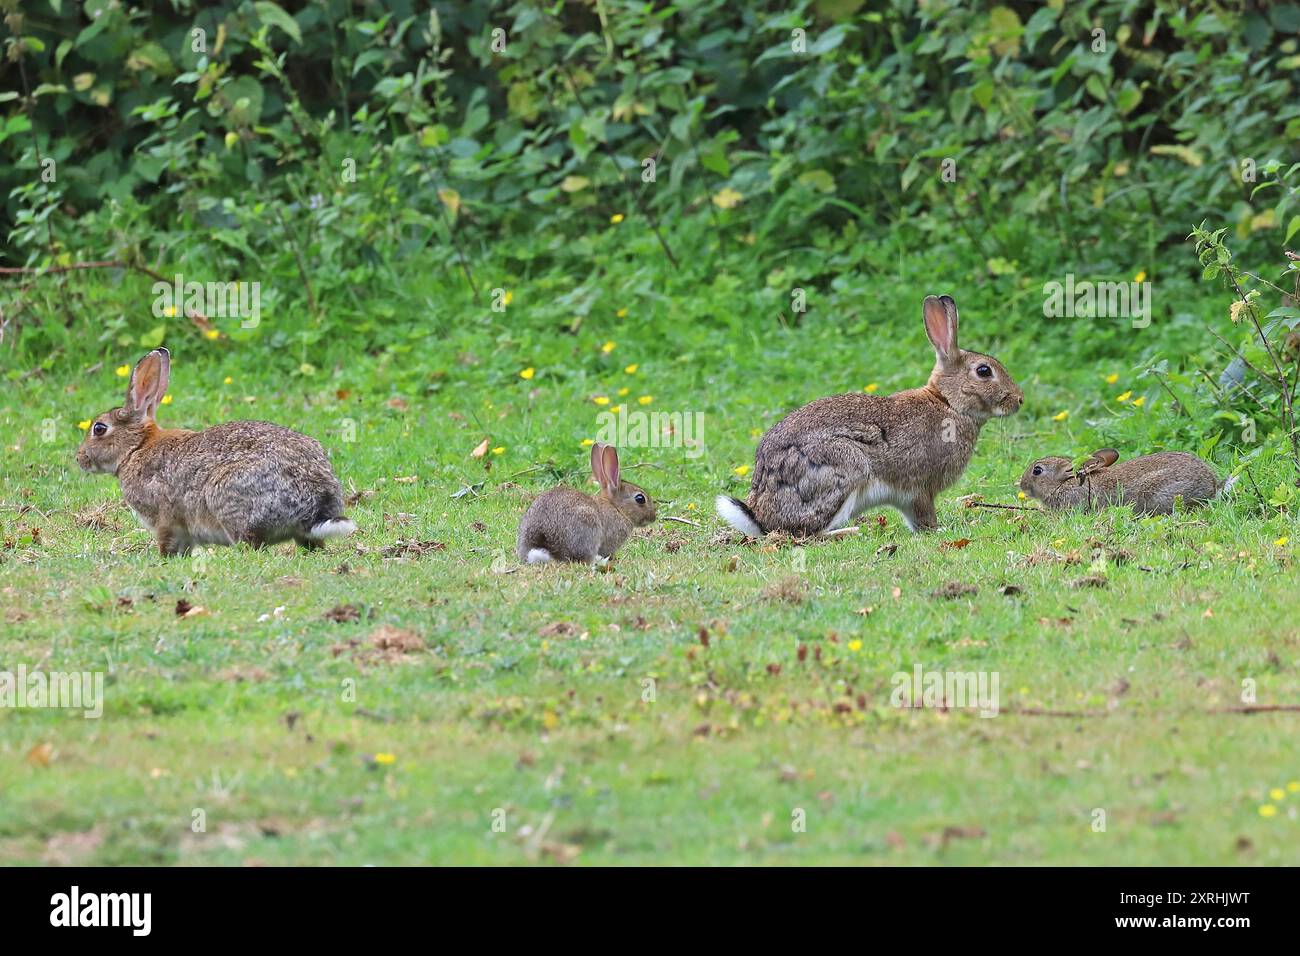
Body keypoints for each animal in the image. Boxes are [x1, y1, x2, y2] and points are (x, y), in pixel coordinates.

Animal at [76, 347, 356, 556]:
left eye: (99, 428)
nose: (79, 458)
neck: (136, 448)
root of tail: (316, 505)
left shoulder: (166, 519)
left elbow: (168, 542)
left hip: (228, 499)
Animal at [716, 294, 1023, 536]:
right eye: (984, 371)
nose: (1019, 400)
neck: (948, 403)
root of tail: (759, 516)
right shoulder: (921, 488)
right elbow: (924, 513)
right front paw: (937, 530)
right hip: (844, 467)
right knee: (808, 533)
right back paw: (849, 531)